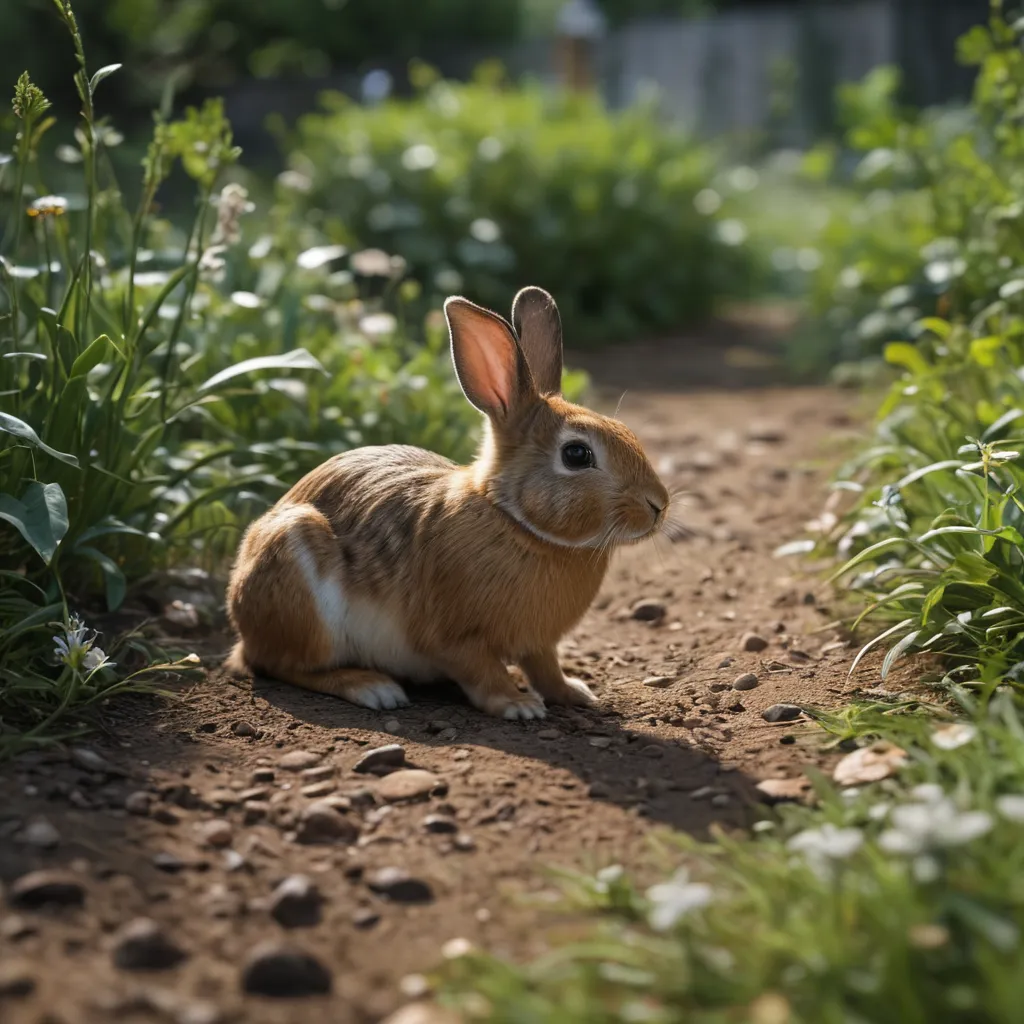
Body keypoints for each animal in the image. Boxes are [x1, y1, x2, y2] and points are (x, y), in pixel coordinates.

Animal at [225, 286, 670, 719]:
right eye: (577, 455)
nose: (658, 505)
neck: (514, 521)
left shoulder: (538, 644)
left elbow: (546, 669)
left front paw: (574, 693)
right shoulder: (453, 638)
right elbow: (480, 671)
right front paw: (517, 705)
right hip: (297, 568)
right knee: (285, 664)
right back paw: (372, 687)